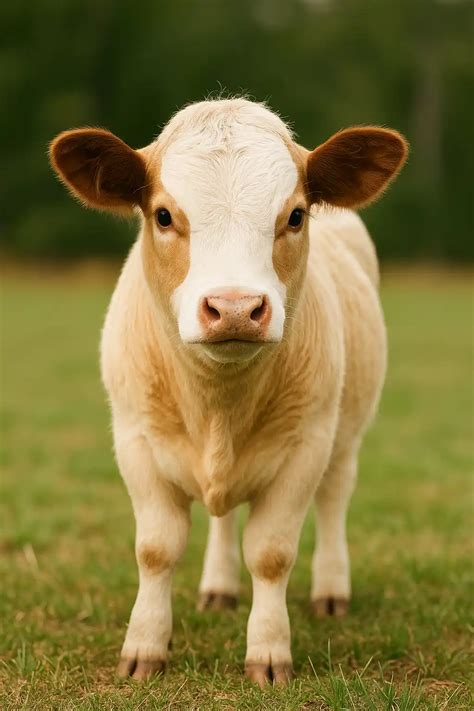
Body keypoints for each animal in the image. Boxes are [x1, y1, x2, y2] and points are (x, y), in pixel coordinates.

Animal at [49, 98, 408, 686]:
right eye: (164, 215)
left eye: (295, 215)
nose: (235, 307)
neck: (217, 404)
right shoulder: (135, 441)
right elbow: (156, 549)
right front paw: (144, 647)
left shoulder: (306, 447)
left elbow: (271, 553)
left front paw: (269, 652)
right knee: (222, 518)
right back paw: (218, 587)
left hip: (346, 433)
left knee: (334, 499)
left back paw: (331, 592)